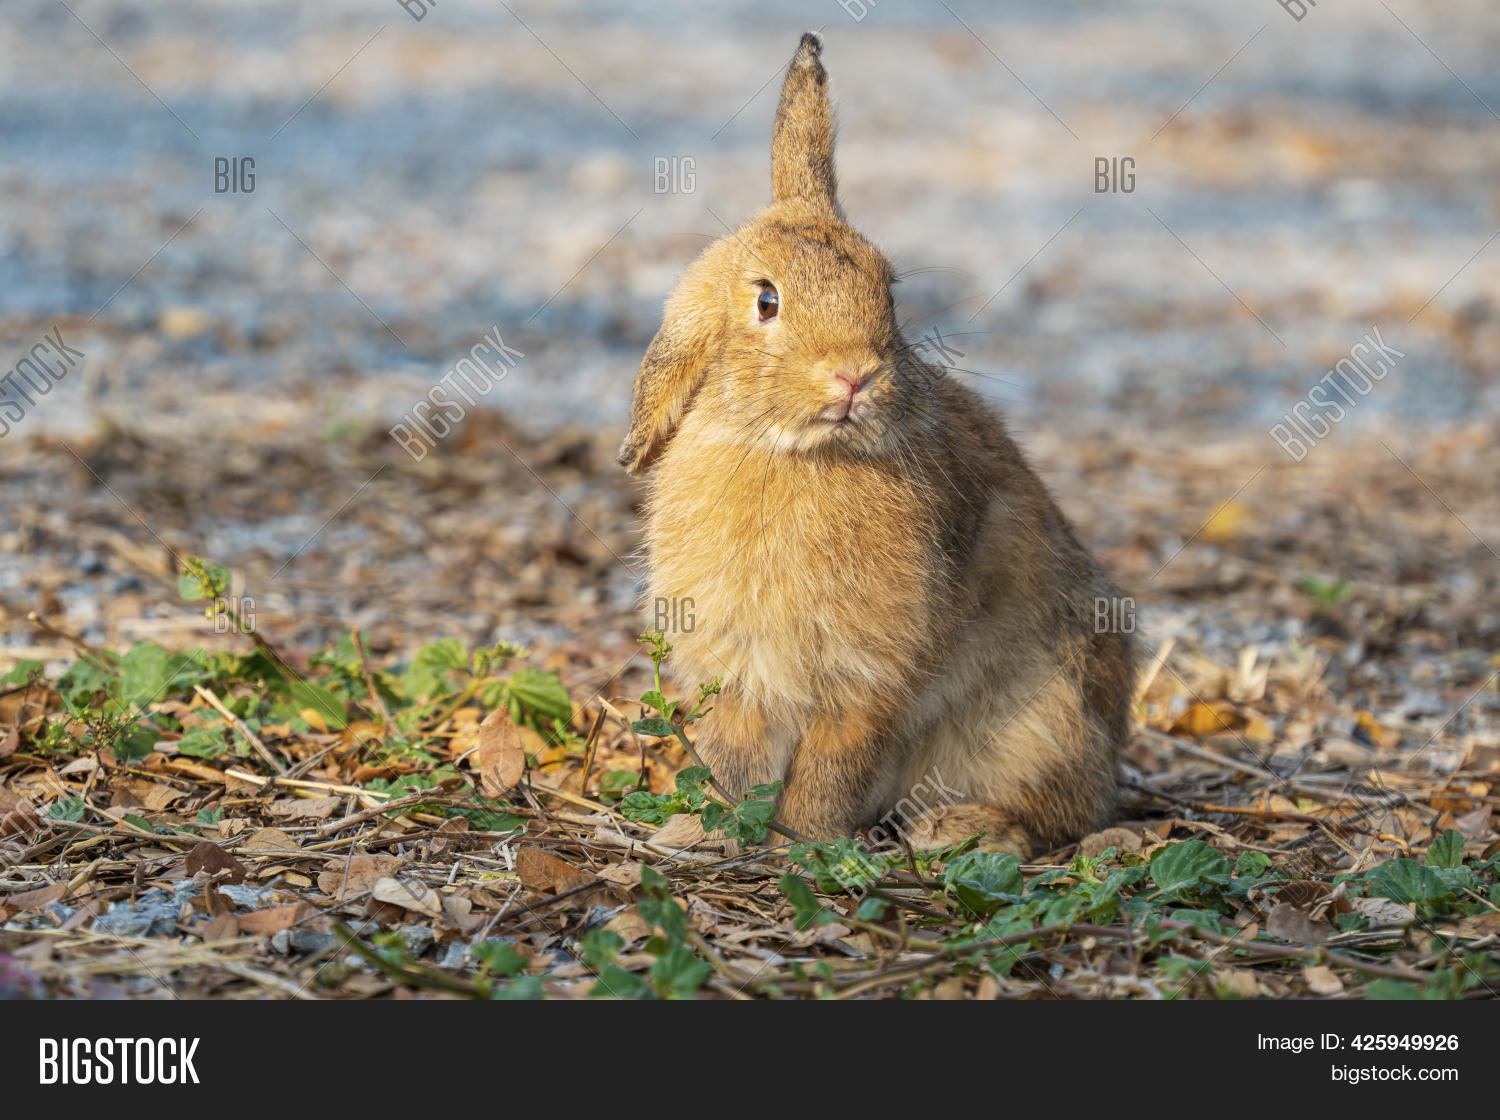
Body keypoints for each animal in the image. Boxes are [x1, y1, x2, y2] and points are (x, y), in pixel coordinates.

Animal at [618, 32, 1134, 858]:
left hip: (1040, 721)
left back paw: (963, 830)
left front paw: (809, 842)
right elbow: (734, 758)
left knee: (1058, 815)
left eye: (887, 291)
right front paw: (707, 830)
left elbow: (835, 764)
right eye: (766, 300)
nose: (854, 375)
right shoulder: (739, 673)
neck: (796, 455)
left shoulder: (868, 681)